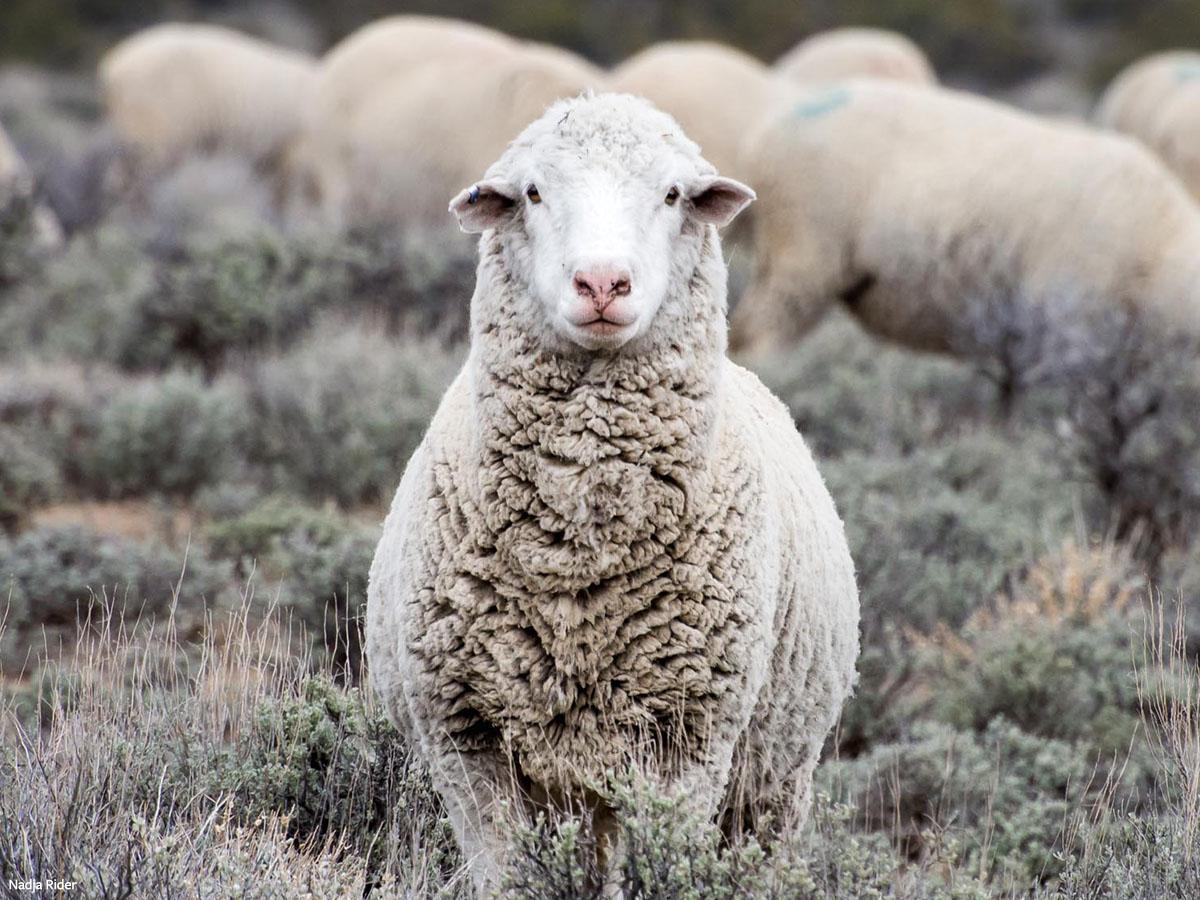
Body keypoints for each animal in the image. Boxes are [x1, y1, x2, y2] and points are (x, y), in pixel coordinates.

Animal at [366, 92, 860, 892]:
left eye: (672, 194)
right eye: (534, 192)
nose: (602, 284)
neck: (579, 552)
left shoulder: (688, 744)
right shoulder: (466, 745)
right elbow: (510, 878)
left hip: (772, 783)